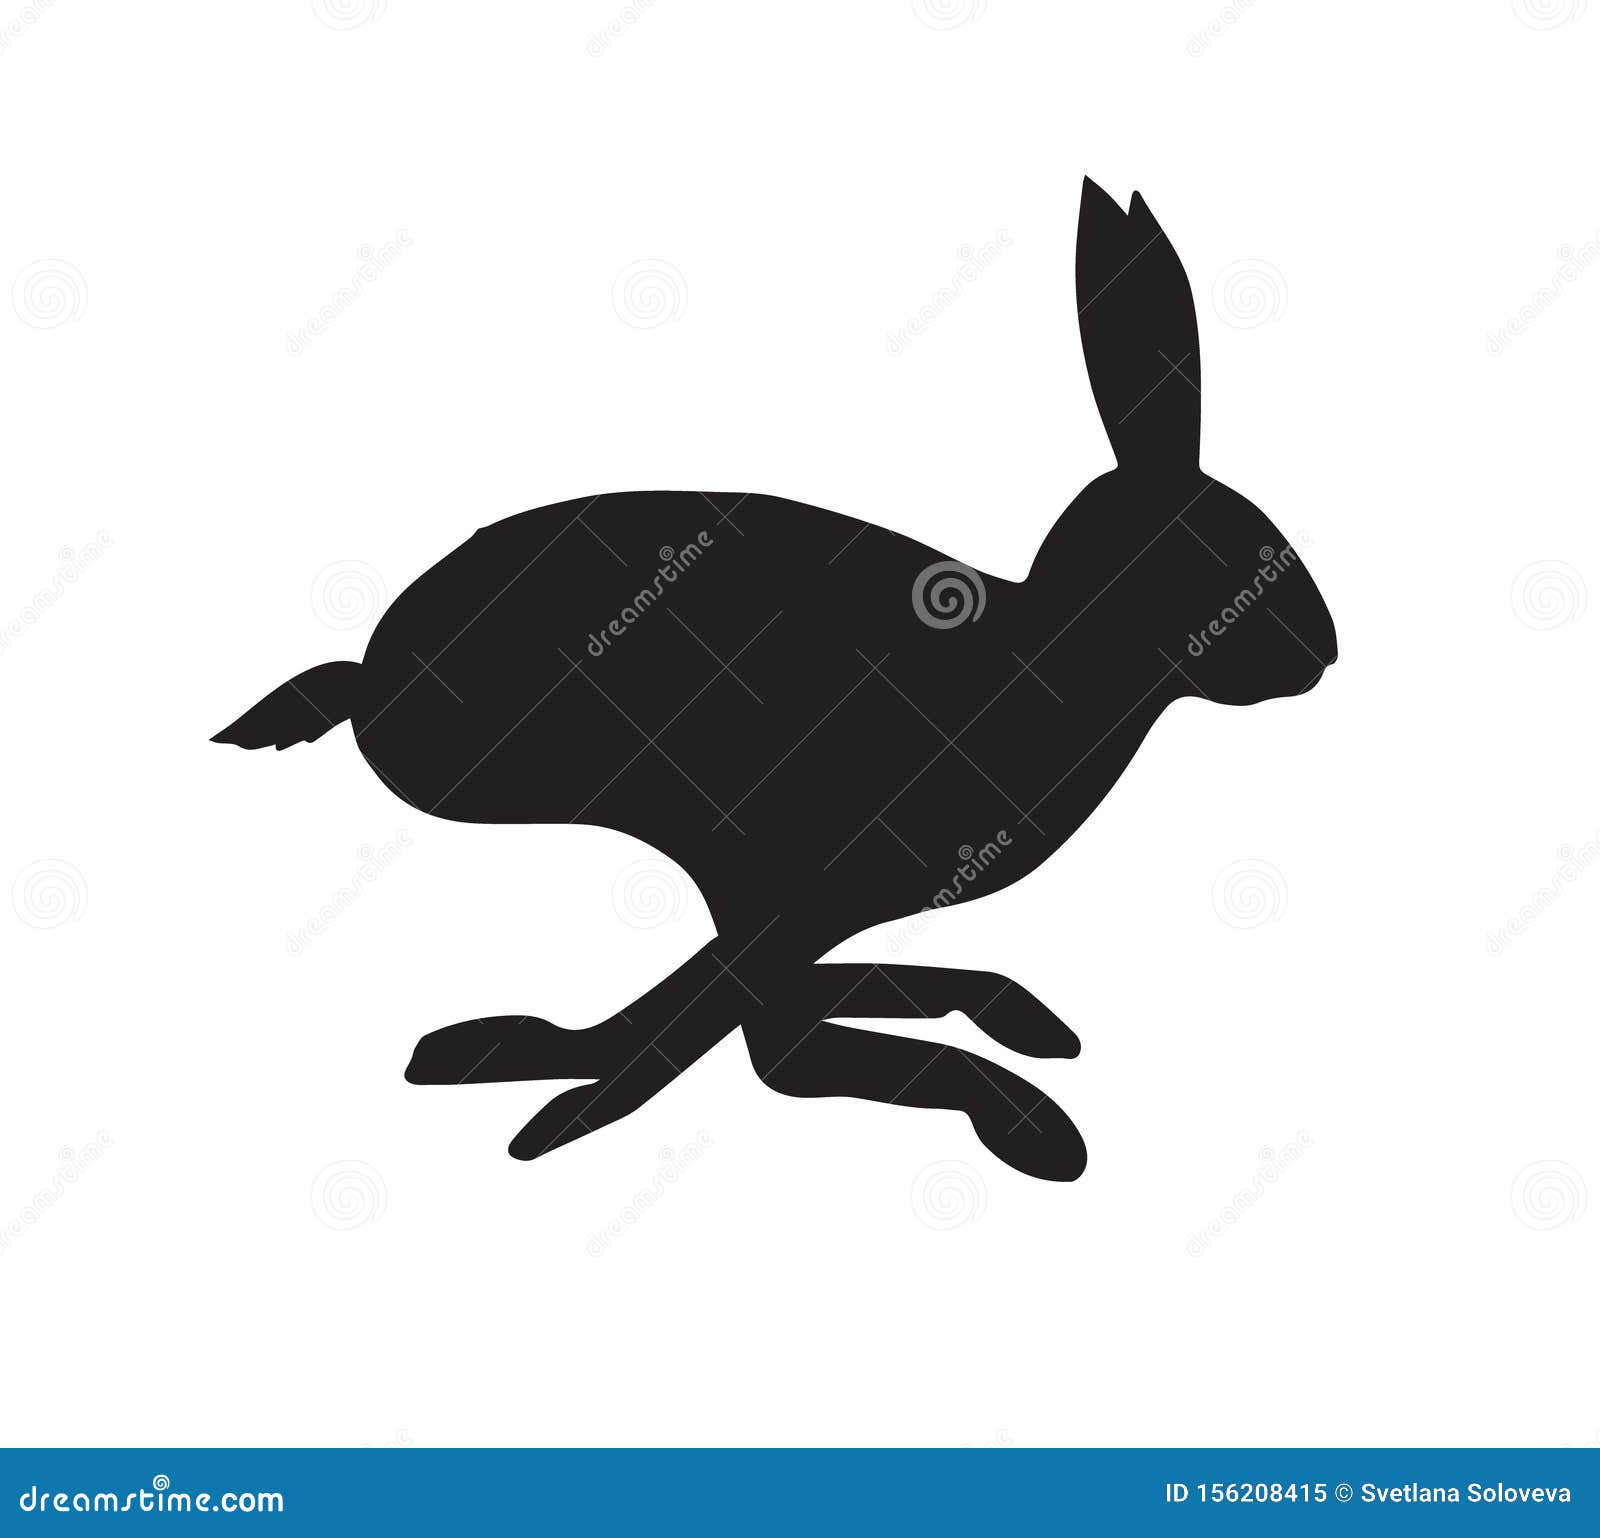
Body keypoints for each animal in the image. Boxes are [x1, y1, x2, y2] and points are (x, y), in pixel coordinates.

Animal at [213, 179, 1336, 1181]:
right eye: (1220, 550)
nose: (1324, 653)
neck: (1055, 650)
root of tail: (371, 674)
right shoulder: (788, 885)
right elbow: (774, 1052)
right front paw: (1038, 1132)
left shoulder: (798, 905)